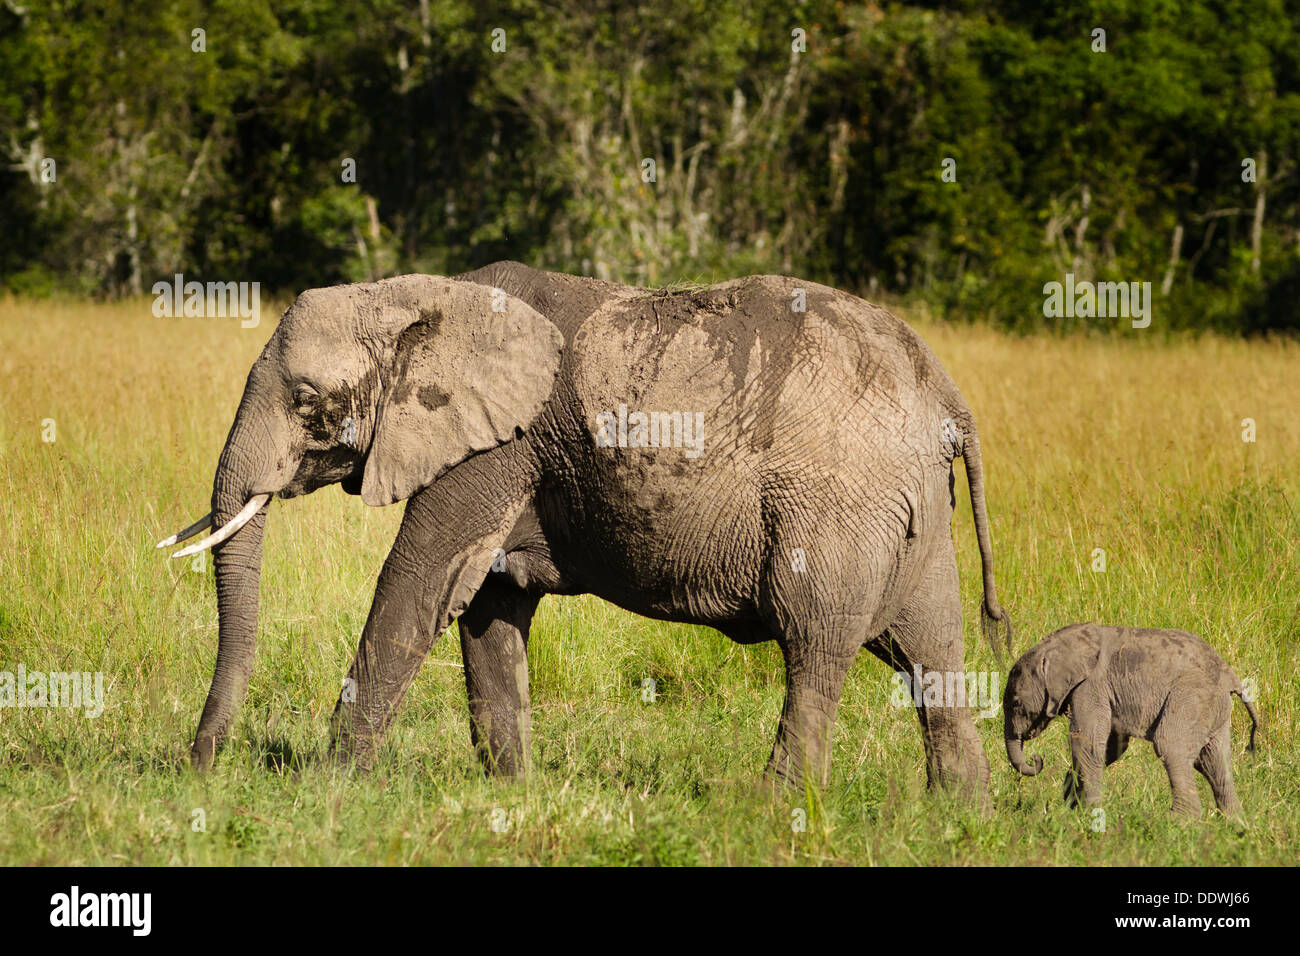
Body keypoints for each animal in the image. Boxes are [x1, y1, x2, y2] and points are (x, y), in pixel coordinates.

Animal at [158, 260, 1012, 794]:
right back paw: (959, 814)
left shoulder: (498, 446)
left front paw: (329, 788)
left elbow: (419, 583)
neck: (417, 296)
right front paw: (513, 792)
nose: (199, 768)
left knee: (815, 645)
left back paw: (772, 807)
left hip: (837, 502)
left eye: (308, 403)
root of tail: (947, 396)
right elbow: (488, 606)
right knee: (929, 649)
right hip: (912, 513)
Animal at [1003, 623, 1259, 817]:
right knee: (1215, 761)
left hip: (1193, 695)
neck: (1055, 644)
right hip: (1213, 707)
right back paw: (1235, 825)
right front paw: (1071, 805)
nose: (1036, 759)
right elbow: (1112, 746)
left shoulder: (1091, 686)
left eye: (1015, 703)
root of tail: (1231, 677)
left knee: (1171, 747)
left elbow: (1087, 743)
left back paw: (1177, 822)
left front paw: (1091, 813)